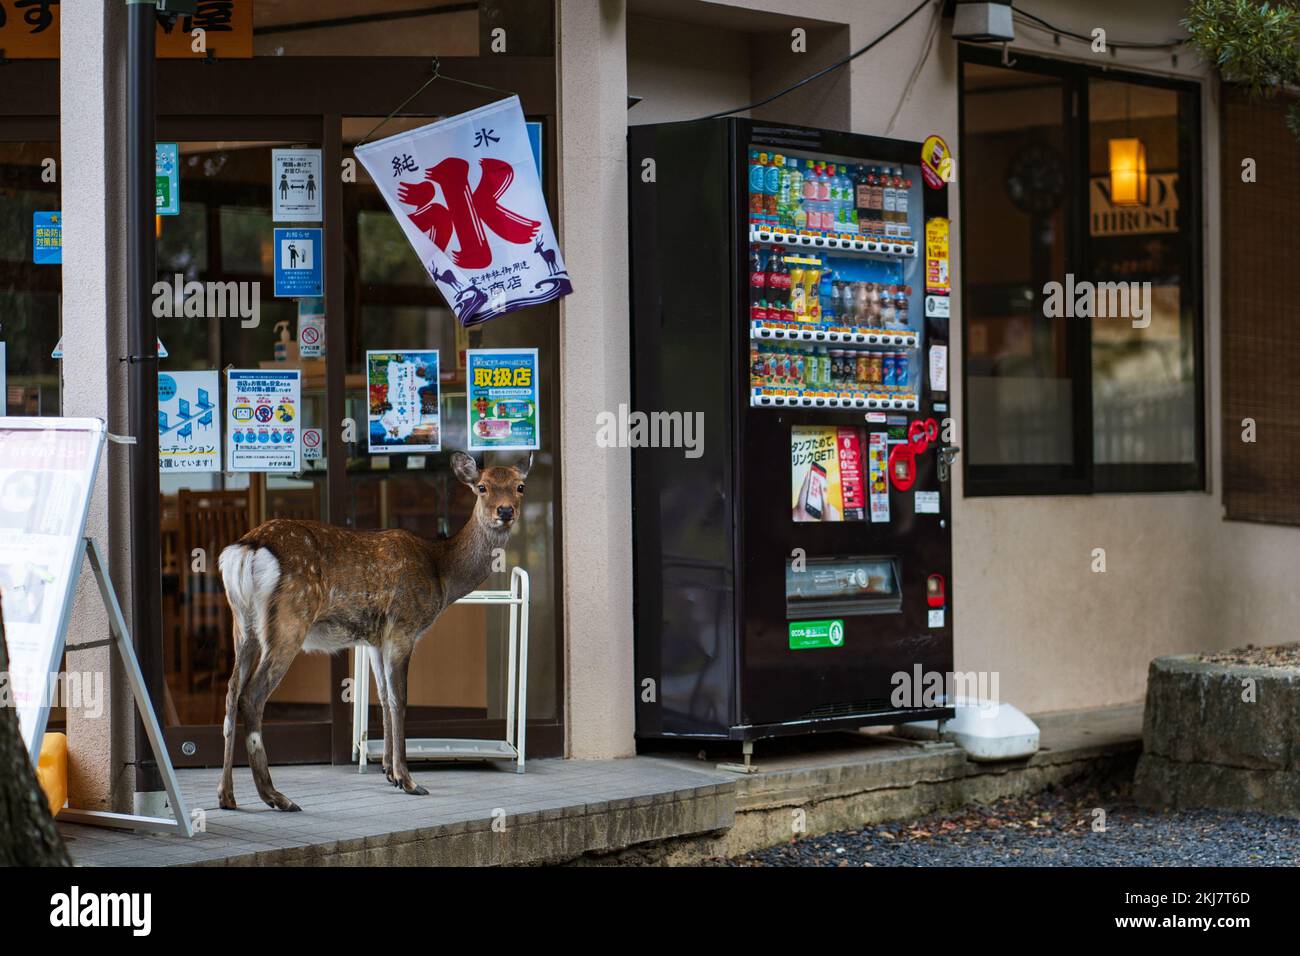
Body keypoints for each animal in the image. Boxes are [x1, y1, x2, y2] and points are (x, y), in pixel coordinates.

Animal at [215, 451, 530, 812]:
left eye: (520, 486)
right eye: (482, 486)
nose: (504, 511)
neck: (441, 572)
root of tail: (247, 549)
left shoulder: (377, 639)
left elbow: (381, 696)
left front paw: (389, 773)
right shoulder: (403, 626)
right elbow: (399, 699)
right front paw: (408, 780)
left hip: (243, 625)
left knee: (231, 692)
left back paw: (227, 795)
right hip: (289, 620)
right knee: (252, 695)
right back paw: (275, 796)